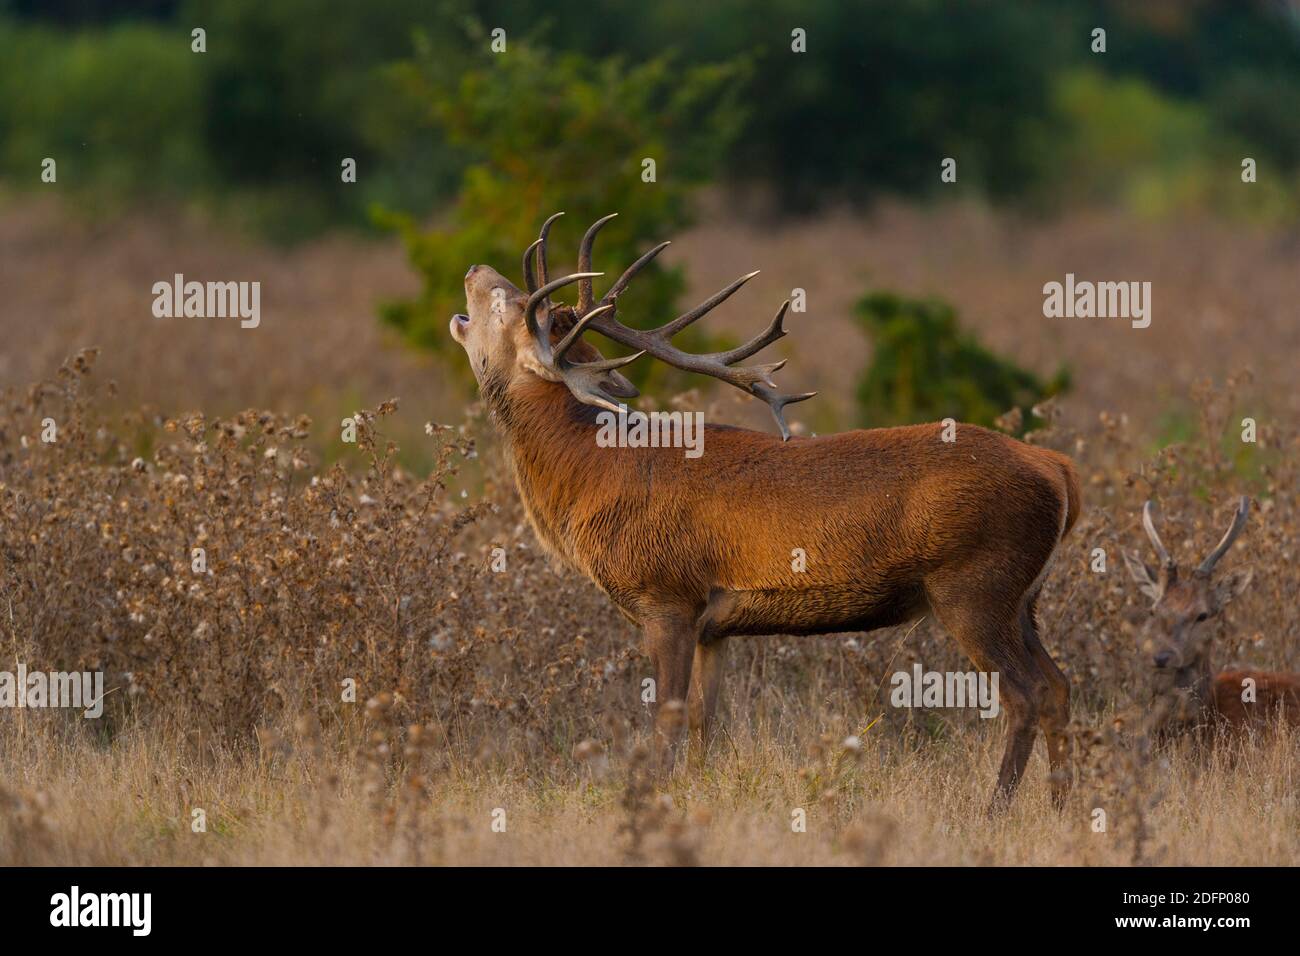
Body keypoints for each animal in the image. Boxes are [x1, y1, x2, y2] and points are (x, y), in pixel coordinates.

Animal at [451, 213, 1082, 810]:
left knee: (1025, 695)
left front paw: (648, 800)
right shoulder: (714, 626)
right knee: (1058, 686)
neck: (588, 475)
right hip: (1022, 597)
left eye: (508, 303)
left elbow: (668, 723)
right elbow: (705, 723)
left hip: (973, 585)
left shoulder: (667, 596)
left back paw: (995, 810)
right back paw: (1059, 807)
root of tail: (1058, 469)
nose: (474, 268)